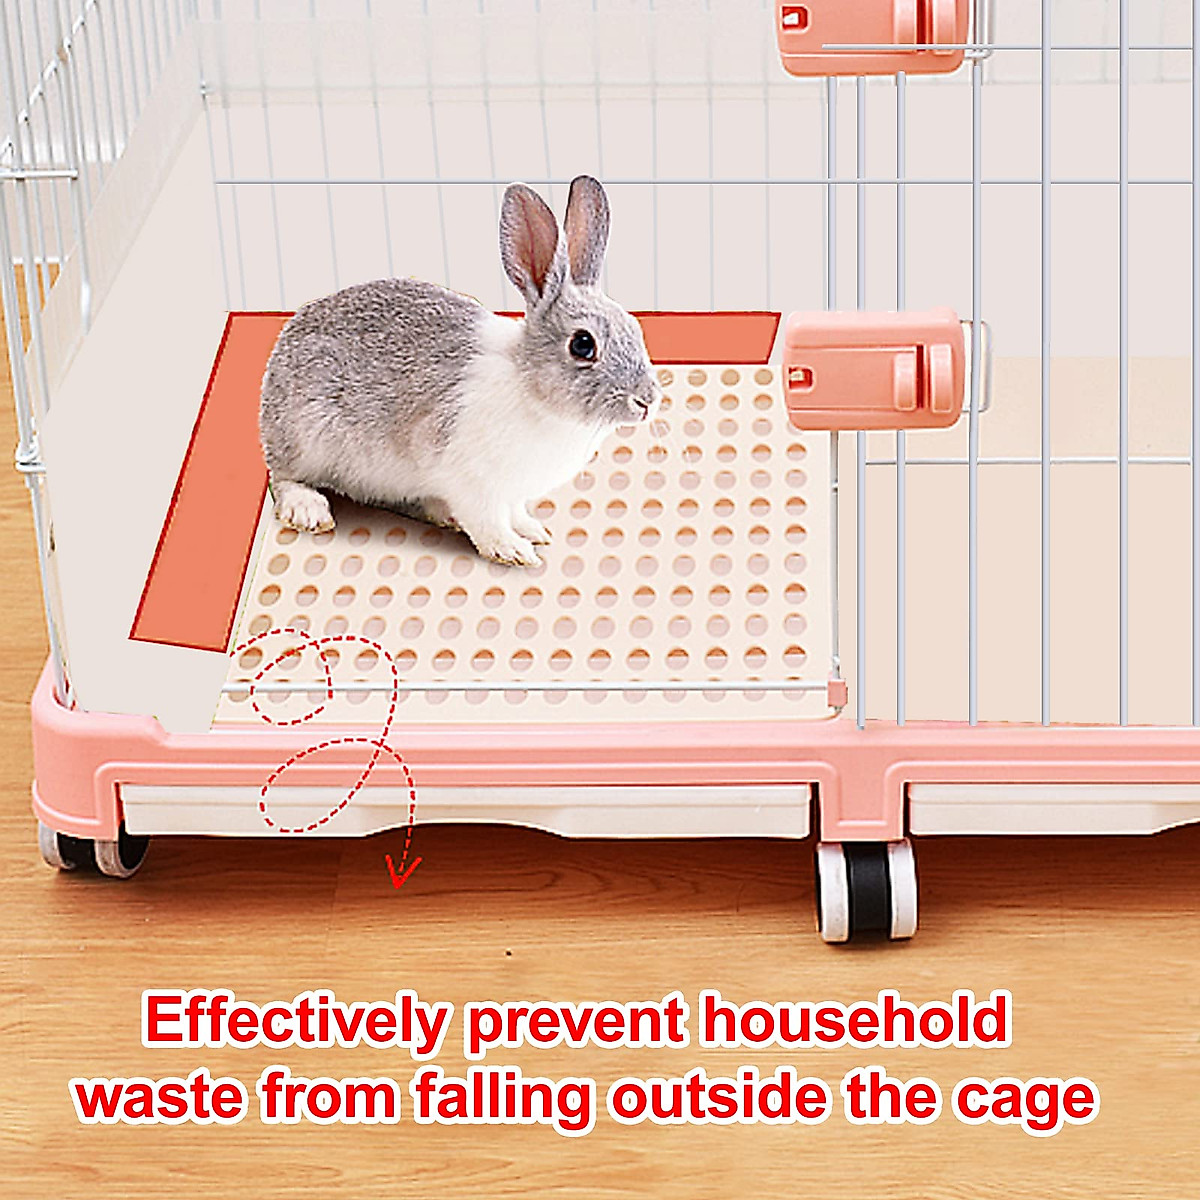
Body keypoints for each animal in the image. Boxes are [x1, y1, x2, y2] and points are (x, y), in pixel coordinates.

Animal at [259, 175, 661, 567]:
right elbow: (487, 520)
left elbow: (515, 512)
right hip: (306, 439)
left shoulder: (510, 492)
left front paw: (534, 531)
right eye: (582, 344)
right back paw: (308, 509)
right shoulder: (471, 481)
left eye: (635, 327)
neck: (530, 387)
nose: (647, 400)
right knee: (284, 478)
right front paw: (512, 550)